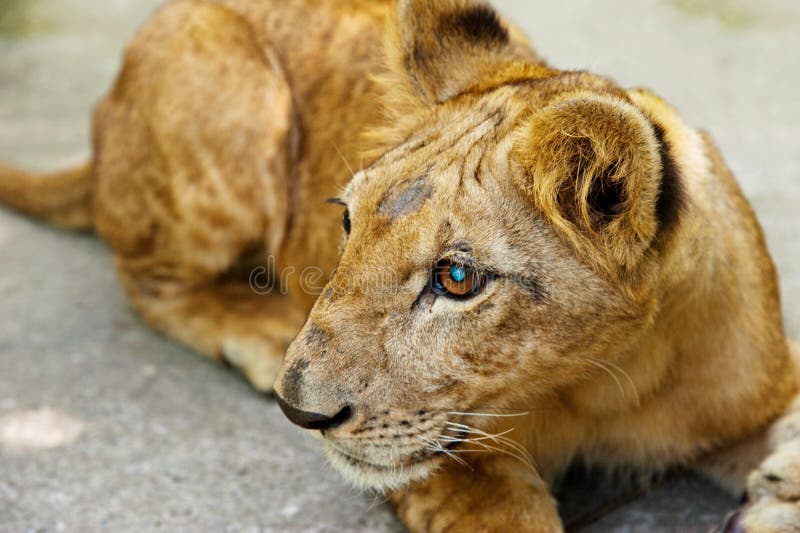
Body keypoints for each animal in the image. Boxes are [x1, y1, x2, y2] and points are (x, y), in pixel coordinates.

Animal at [1, 0, 799, 530]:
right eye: (347, 221)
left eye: (456, 279)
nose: (301, 412)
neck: (610, 383)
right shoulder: (462, 472)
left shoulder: (758, 387)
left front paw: (779, 488)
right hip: (233, 96)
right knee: (145, 277)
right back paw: (257, 329)